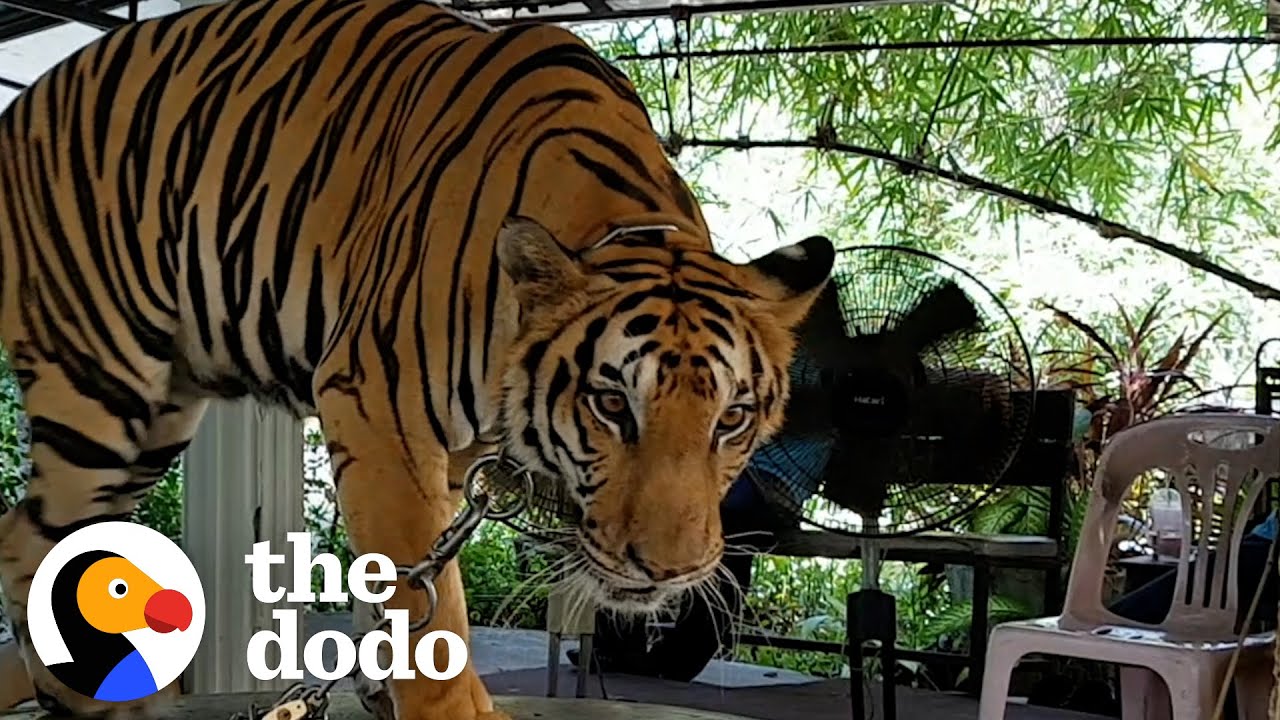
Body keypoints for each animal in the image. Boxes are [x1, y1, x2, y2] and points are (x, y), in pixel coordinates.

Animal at [0, 0, 834, 716]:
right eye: (610, 405)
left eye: (732, 418)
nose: (671, 572)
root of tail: (24, 102)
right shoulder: (376, 409)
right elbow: (427, 612)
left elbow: (401, 587)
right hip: (100, 388)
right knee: (32, 543)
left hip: (158, 416)